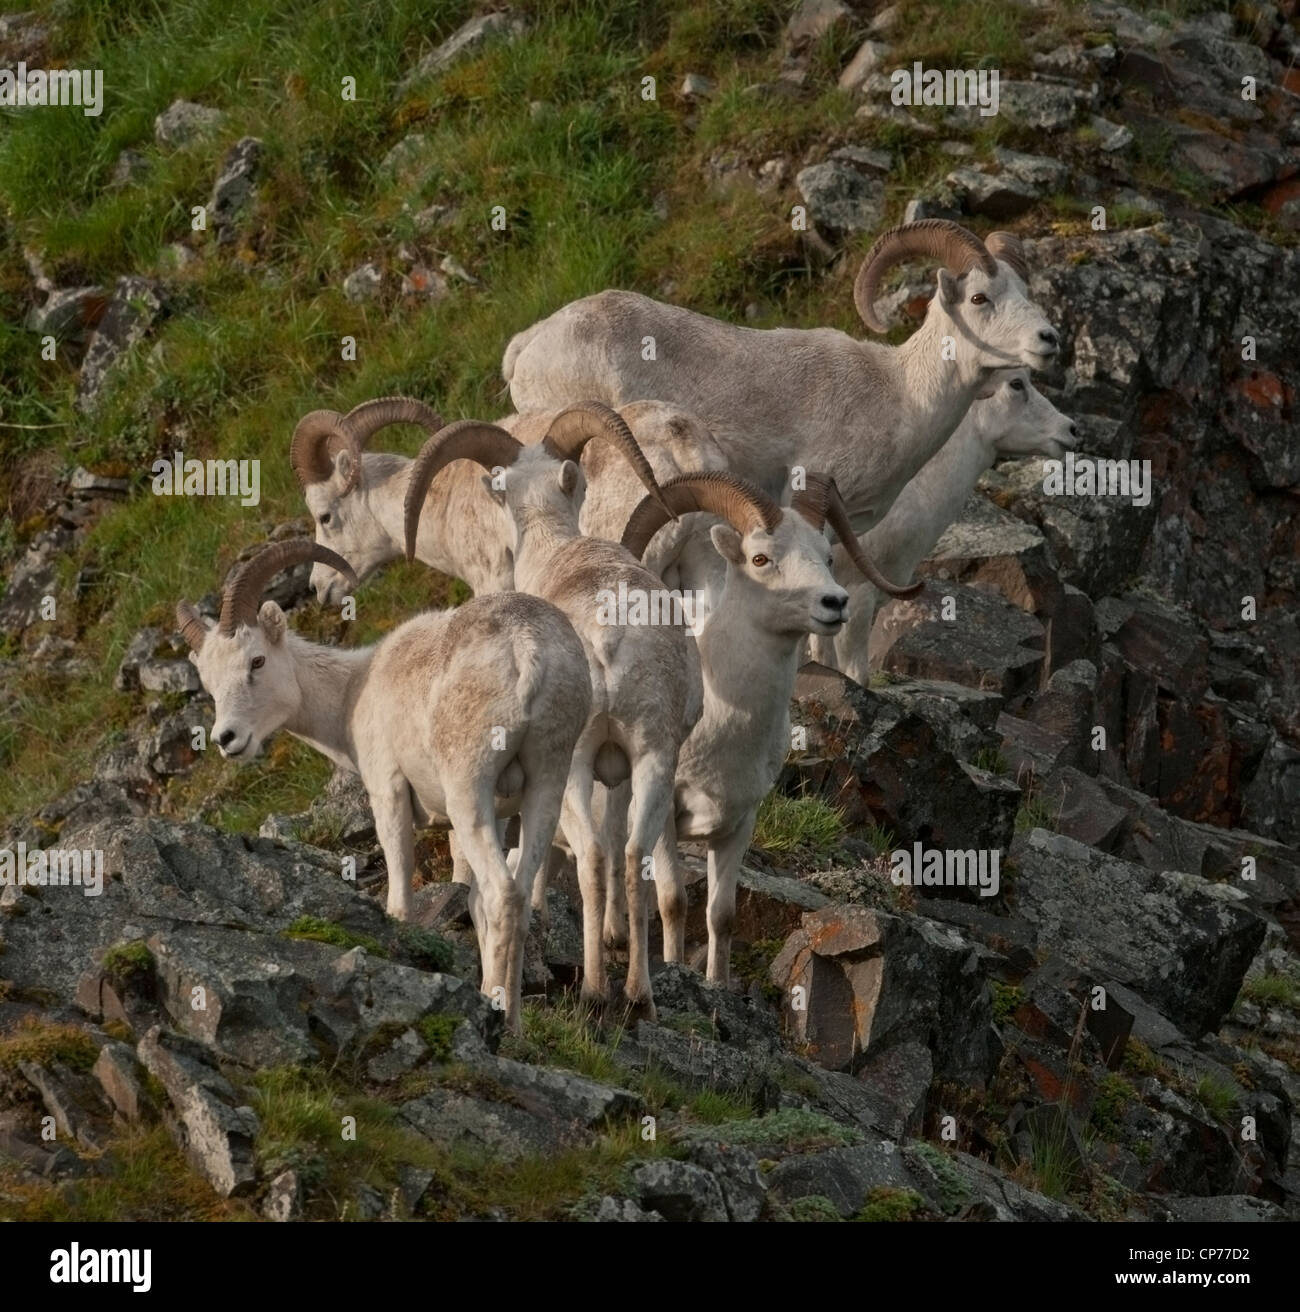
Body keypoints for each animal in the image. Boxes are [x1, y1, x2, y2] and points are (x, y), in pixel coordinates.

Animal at [175, 538, 592, 1031]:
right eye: (209, 682)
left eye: (256, 660)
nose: (228, 739)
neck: (355, 689)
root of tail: (524, 648)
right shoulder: (491, 816)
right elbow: (471, 904)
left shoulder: (388, 793)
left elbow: (401, 902)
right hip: (546, 783)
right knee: (518, 895)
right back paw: (513, 1024)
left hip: (470, 791)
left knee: (503, 895)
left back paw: (499, 1013)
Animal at [401, 406, 702, 1018]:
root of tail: (609, 632)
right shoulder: (623, 768)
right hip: (652, 753)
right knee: (630, 855)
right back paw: (639, 995)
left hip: (571, 766)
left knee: (588, 856)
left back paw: (593, 989)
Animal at [611, 470, 898, 983]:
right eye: (761, 558)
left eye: (826, 556)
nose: (835, 603)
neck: (720, 725)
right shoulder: (662, 819)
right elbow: (673, 902)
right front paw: (673, 969)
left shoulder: (738, 823)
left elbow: (721, 916)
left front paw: (716, 984)